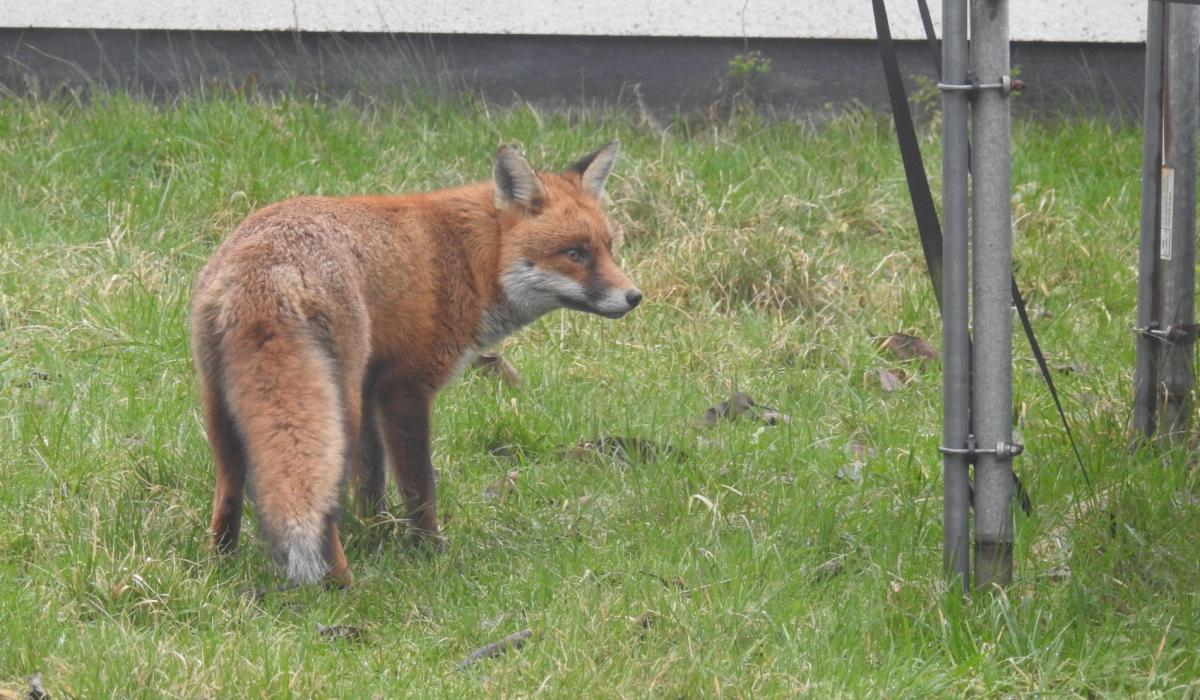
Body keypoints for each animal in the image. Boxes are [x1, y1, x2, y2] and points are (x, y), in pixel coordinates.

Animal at [190, 141, 640, 586]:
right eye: (575, 254)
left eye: (609, 248)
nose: (634, 296)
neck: (468, 258)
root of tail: (266, 269)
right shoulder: (404, 388)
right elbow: (419, 485)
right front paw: (430, 550)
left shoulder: (371, 385)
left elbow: (371, 478)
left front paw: (376, 532)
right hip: (336, 404)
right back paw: (340, 583)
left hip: (224, 402)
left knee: (230, 488)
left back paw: (221, 563)